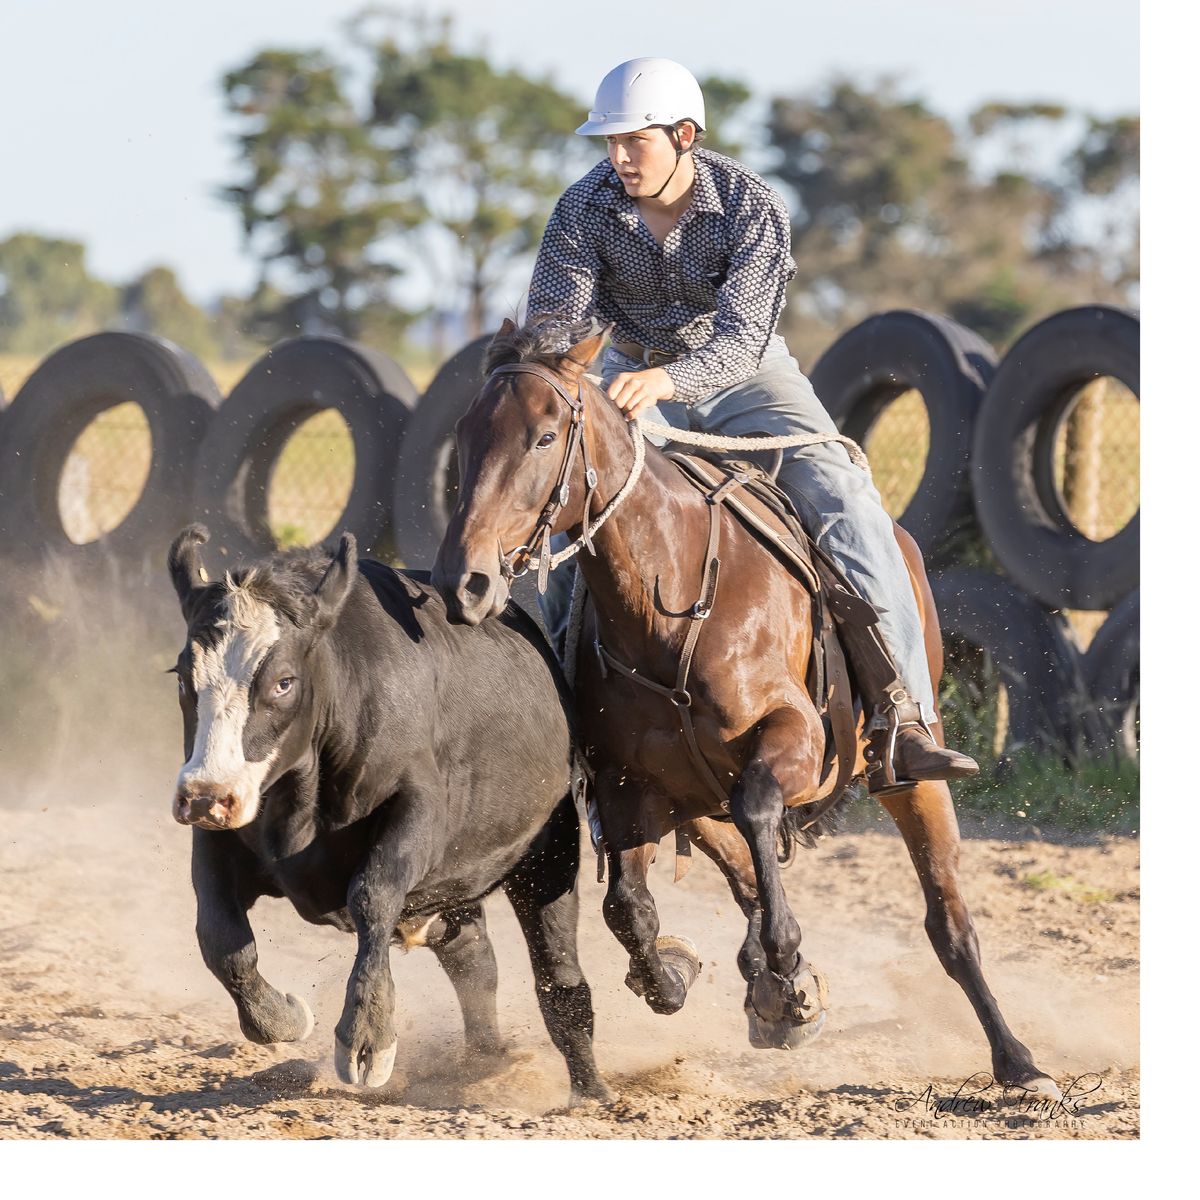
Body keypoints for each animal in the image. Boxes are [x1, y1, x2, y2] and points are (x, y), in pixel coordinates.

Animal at [431, 318, 1059, 1098]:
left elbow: (759, 808)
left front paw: (785, 960)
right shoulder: (627, 786)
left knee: (948, 919)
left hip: (909, 776)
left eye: (545, 436)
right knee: (738, 869)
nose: (464, 581)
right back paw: (770, 989)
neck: (670, 598)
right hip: (693, 795)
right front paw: (682, 972)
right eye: (465, 432)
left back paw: (1016, 1060)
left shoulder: (796, 740)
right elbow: (627, 908)